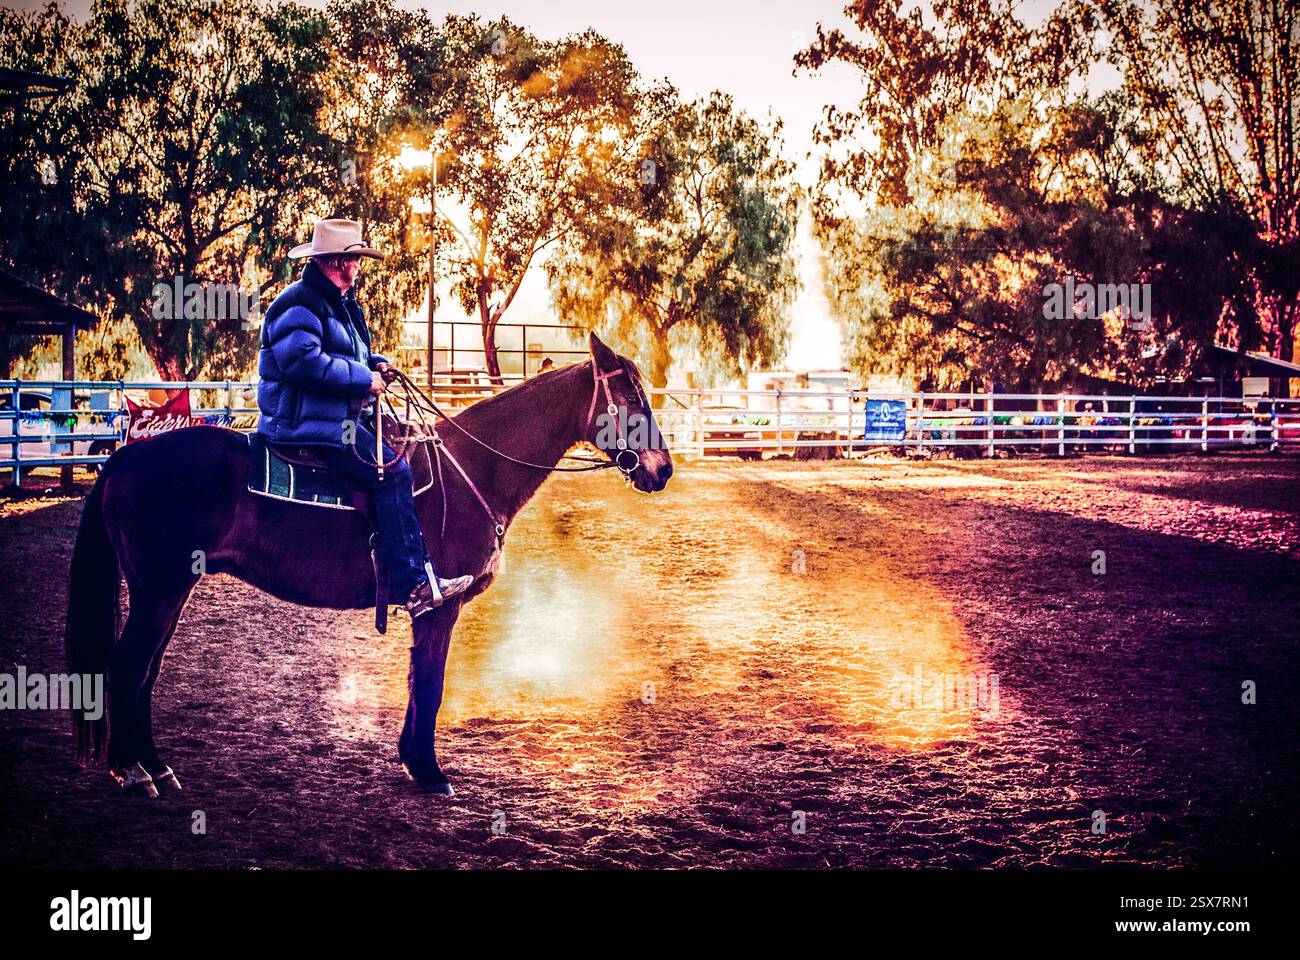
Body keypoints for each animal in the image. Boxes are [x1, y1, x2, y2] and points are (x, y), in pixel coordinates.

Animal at [64, 332, 673, 795]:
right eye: (631, 398)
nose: (662, 468)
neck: (472, 468)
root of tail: (129, 454)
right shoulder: (439, 606)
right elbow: (430, 684)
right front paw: (428, 771)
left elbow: (419, 682)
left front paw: (414, 762)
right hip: (158, 590)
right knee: (128, 668)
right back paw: (132, 772)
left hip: (169, 592)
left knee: (145, 672)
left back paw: (155, 766)